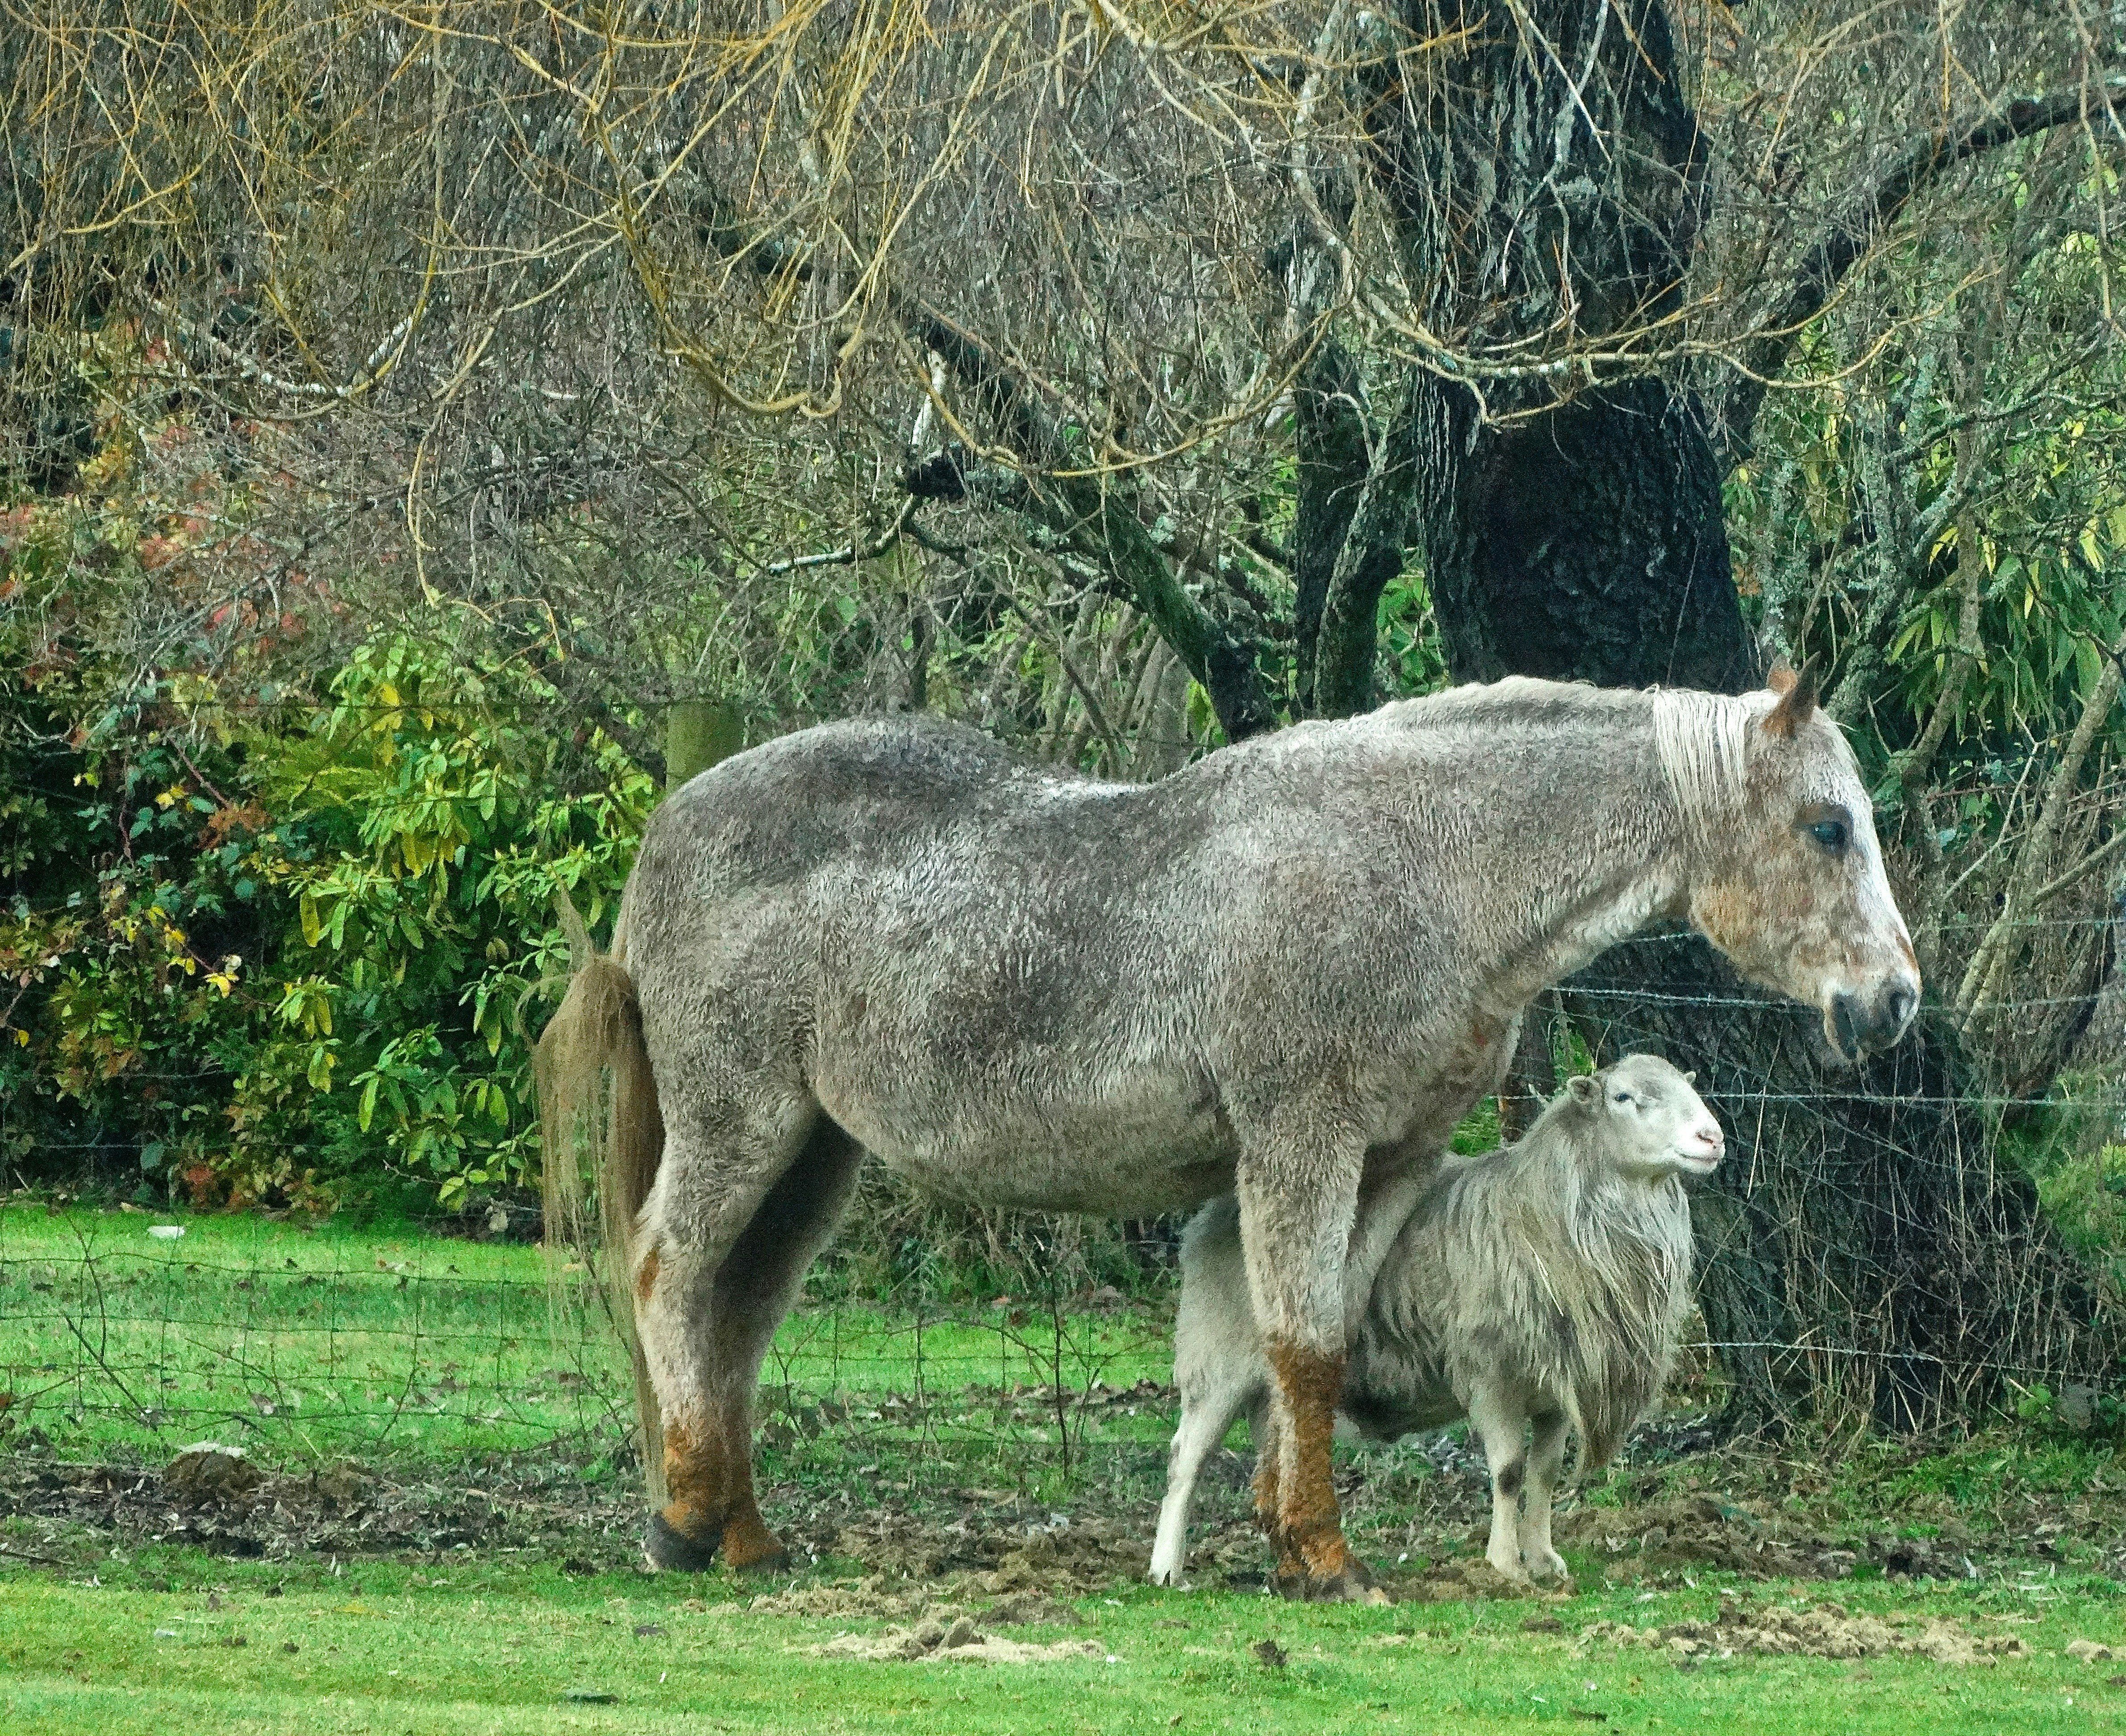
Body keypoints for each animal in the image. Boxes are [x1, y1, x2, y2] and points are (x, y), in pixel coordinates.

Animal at [1148, 1053, 1723, 1587]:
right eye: (1623, 1097)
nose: (1712, 1138)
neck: (1547, 1207)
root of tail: (1210, 1216)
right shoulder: (1491, 1374)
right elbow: (1509, 1472)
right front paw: (1504, 1565)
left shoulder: (1560, 1385)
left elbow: (1544, 1474)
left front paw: (1544, 1560)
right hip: (1218, 1358)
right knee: (1185, 1459)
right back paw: (1167, 1570)